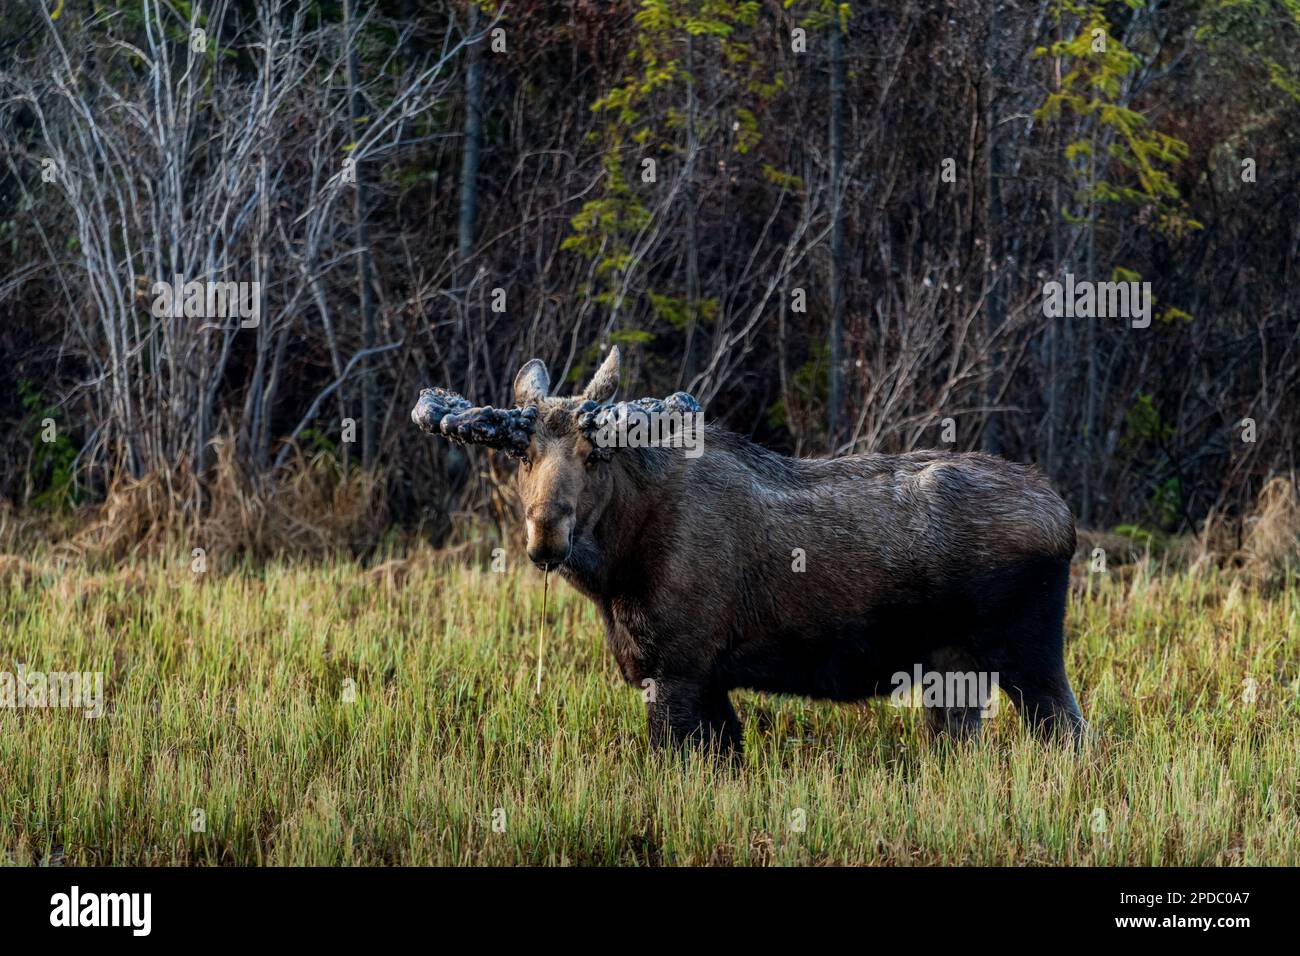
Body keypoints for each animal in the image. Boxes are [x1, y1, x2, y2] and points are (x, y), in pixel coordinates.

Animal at [412, 346, 1085, 756]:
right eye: (521, 454)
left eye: (595, 454)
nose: (546, 533)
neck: (616, 572)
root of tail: (1065, 519)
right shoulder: (704, 680)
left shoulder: (678, 671)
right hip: (954, 672)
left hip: (1028, 656)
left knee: (1073, 735)